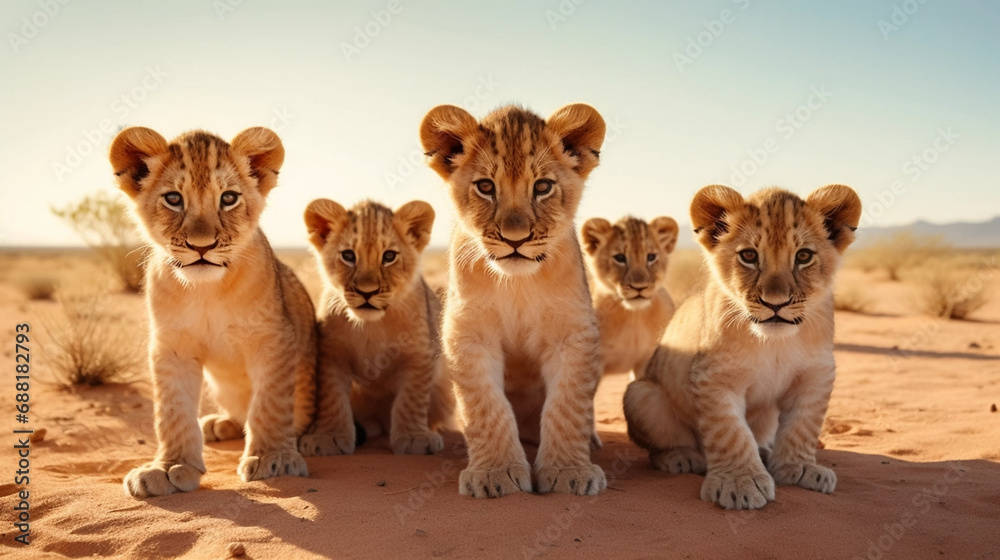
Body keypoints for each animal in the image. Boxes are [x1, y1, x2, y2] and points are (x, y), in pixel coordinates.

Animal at [109, 127, 316, 498]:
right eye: (173, 199)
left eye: (229, 198)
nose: (202, 246)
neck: (206, 291)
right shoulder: (172, 346)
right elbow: (172, 411)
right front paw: (169, 468)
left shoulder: (273, 339)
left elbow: (269, 402)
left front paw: (273, 459)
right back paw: (220, 424)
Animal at [299, 198, 454, 456]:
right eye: (348, 256)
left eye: (389, 256)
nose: (367, 292)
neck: (371, 326)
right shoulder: (331, 354)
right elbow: (332, 398)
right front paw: (329, 436)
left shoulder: (419, 354)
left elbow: (412, 398)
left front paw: (414, 437)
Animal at [419, 103, 608, 498]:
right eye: (486, 187)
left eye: (543, 187)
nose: (515, 239)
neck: (518, 284)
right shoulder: (469, 334)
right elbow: (486, 406)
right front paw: (495, 474)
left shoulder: (572, 334)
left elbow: (568, 405)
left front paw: (569, 471)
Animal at [623, 184, 862, 510]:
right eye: (749, 255)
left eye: (803, 256)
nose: (776, 303)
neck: (774, 343)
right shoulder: (715, 377)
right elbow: (731, 432)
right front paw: (739, 483)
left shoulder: (816, 375)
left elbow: (803, 425)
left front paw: (799, 468)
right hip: (641, 394)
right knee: (663, 443)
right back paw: (681, 457)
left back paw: (764, 453)